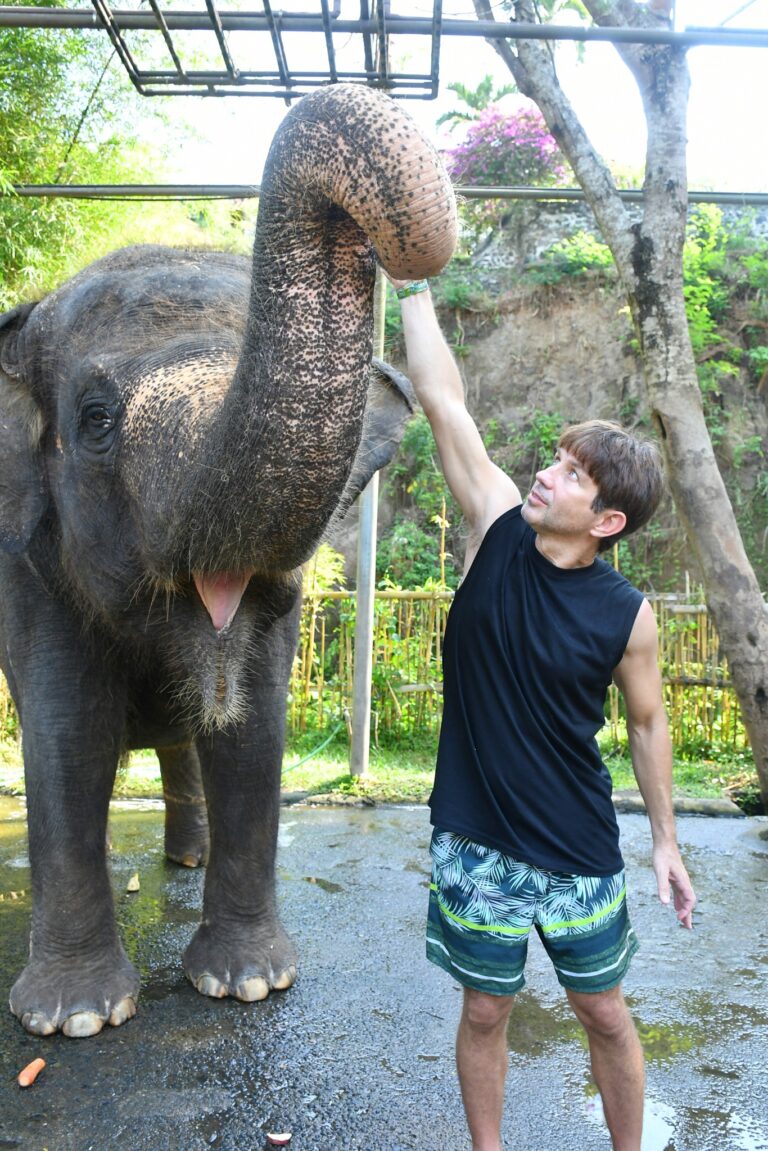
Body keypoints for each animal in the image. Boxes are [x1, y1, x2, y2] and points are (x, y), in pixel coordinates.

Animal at [0, 83, 457, 1037]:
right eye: (94, 420)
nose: (416, 253)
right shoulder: (22, 559)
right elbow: (68, 729)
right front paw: (74, 1019)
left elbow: (253, 733)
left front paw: (248, 984)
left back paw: (186, 860)